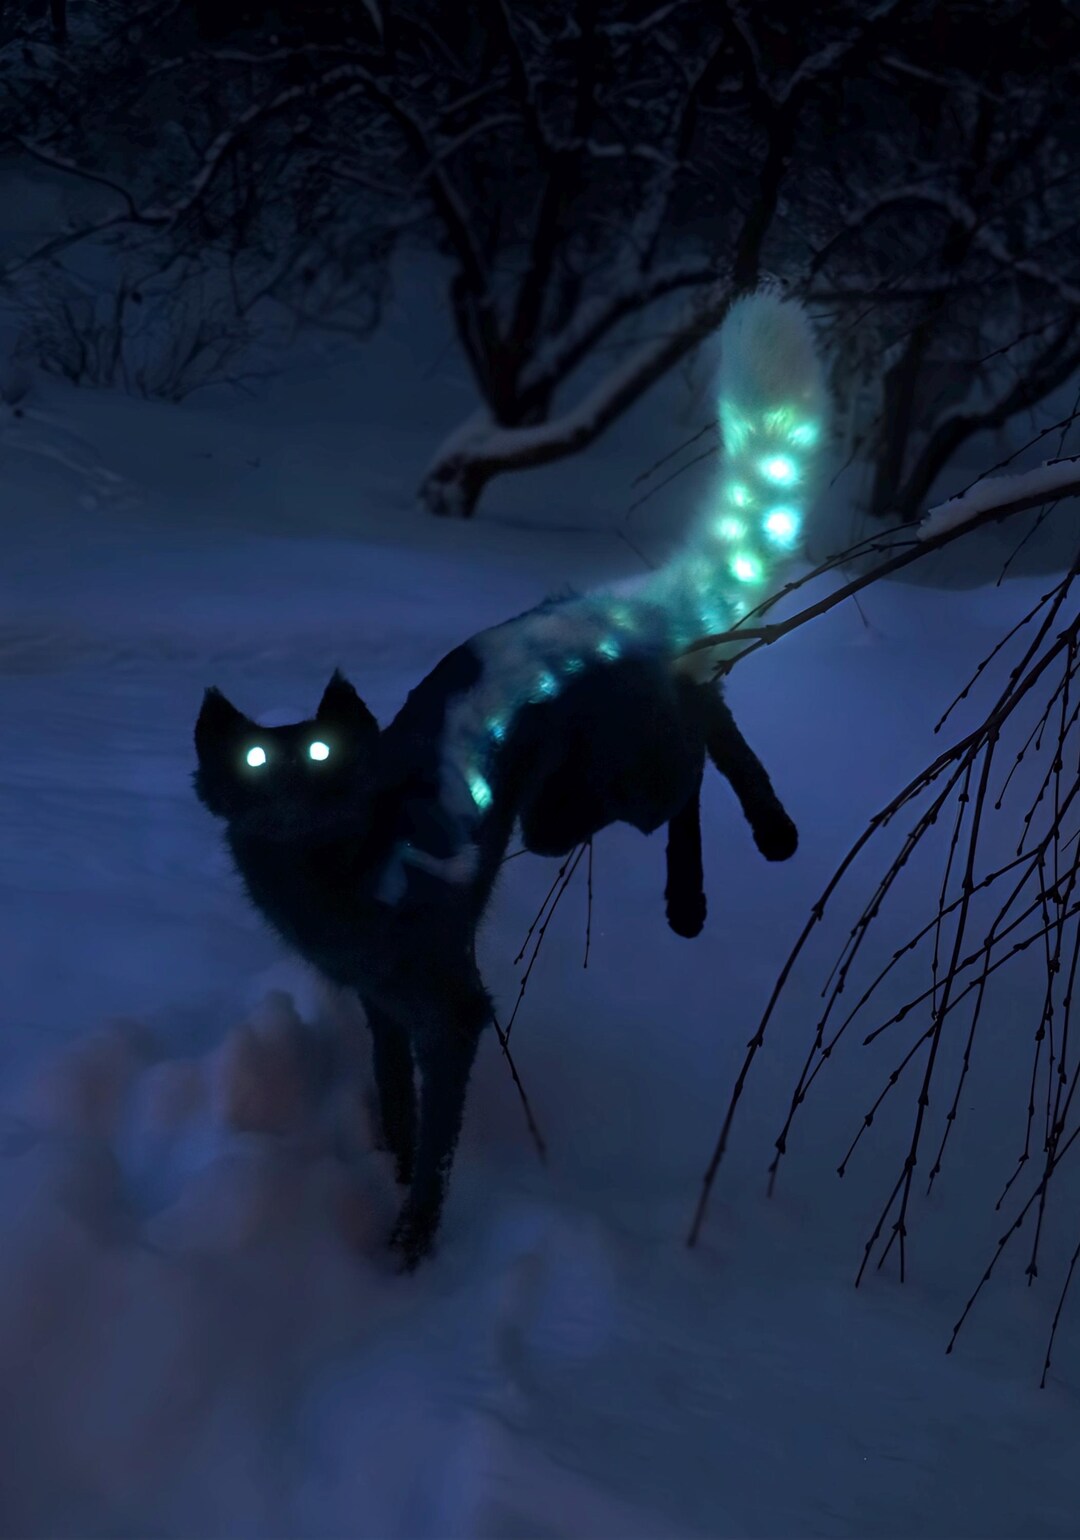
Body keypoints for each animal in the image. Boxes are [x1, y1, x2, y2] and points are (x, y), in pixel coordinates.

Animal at [193, 288, 828, 1269]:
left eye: (327, 755)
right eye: (259, 761)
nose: (301, 785)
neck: (346, 888)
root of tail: (604, 608)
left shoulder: (456, 1013)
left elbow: (440, 1147)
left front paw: (411, 1245)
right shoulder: (382, 1009)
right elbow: (396, 1102)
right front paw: (388, 1165)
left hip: (629, 783)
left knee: (700, 736)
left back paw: (747, 849)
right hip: (561, 813)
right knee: (698, 697)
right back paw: (707, 884)